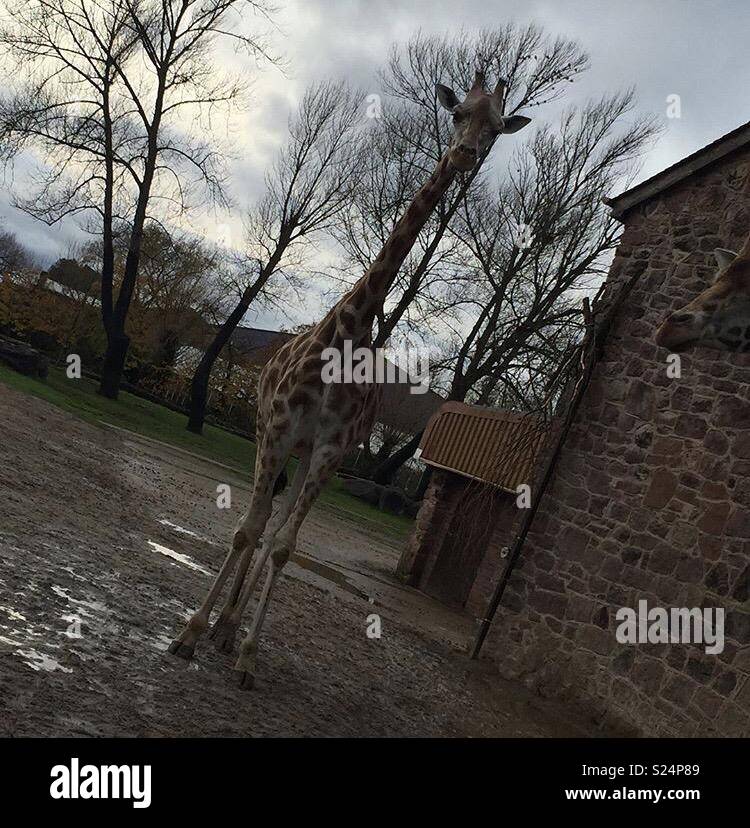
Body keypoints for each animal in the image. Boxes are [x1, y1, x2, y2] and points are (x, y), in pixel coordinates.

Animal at [168, 70, 531, 689]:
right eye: (458, 112)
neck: (347, 332)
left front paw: (246, 653)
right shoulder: (277, 432)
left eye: (496, 127)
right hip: (276, 439)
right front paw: (190, 632)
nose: (463, 154)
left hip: (311, 457)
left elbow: (284, 544)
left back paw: (231, 629)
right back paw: (216, 626)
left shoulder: (329, 451)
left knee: (279, 524)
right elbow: (246, 528)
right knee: (261, 521)